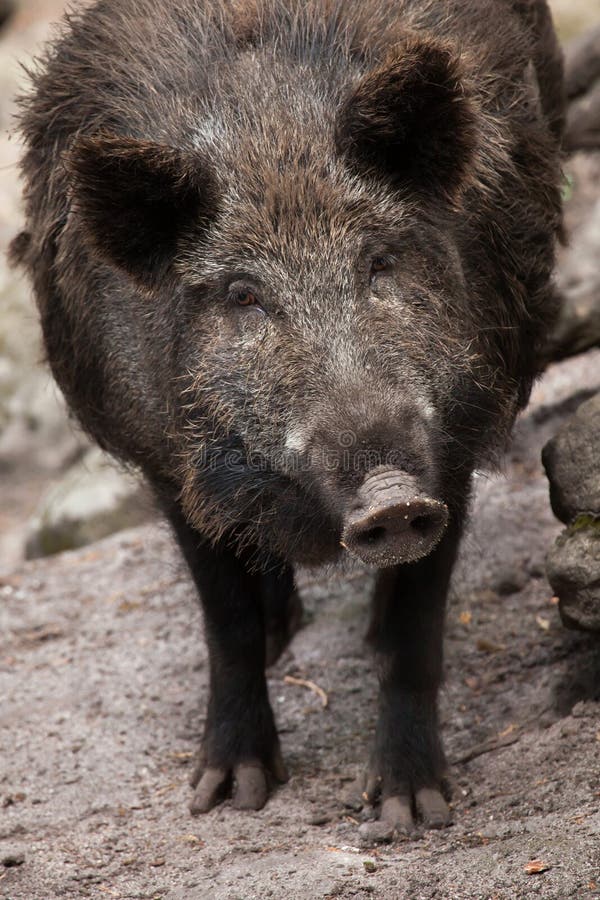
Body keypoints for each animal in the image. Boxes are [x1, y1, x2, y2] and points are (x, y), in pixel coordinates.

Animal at [11, 0, 564, 830]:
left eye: (380, 261)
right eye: (244, 295)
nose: (389, 497)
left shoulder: (453, 446)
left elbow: (416, 630)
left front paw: (410, 812)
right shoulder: (169, 459)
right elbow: (227, 623)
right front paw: (226, 796)